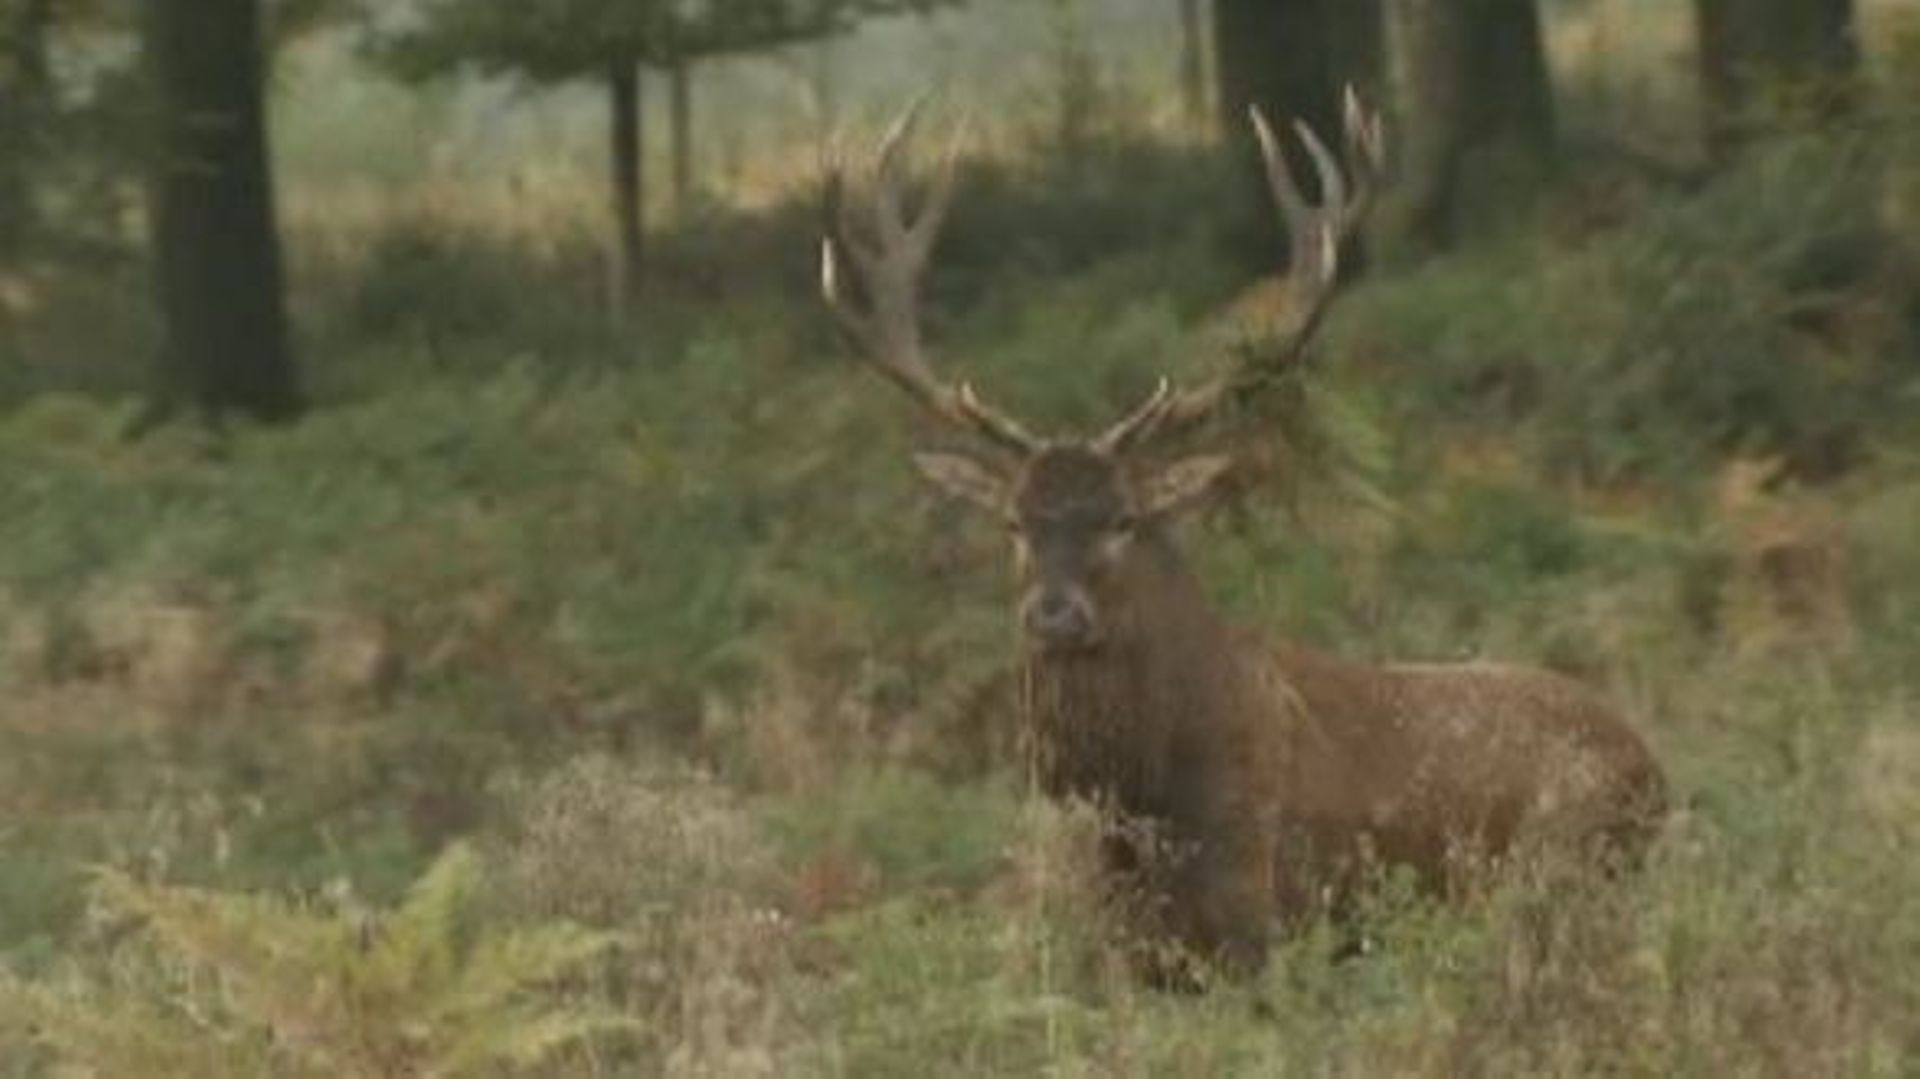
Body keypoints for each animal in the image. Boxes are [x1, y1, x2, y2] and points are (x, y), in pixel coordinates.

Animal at [819, 93, 1668, 984]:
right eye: (1014, 520)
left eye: (1124, 518)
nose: (1053, 613)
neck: (1146, 802)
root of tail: (1660, 774)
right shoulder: (1121, 949)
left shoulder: (1264, 919)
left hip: (1564, 857)